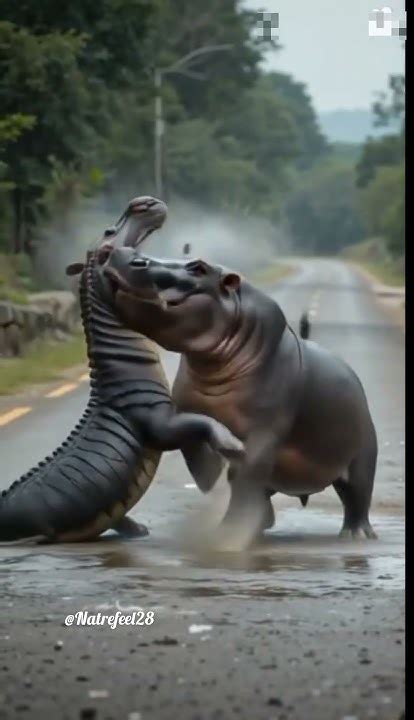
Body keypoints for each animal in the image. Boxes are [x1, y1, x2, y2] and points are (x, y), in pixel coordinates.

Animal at [103, 249, 378, 543]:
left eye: (199, 268)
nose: (127, 254)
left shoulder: (263, 433)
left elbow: (247, 476)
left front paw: (226, 535)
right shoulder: (185, 409)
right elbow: (195, 449)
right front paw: (211, 476)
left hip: (362, 456)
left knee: (357, 496)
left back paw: (356, 534)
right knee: (263, 492)